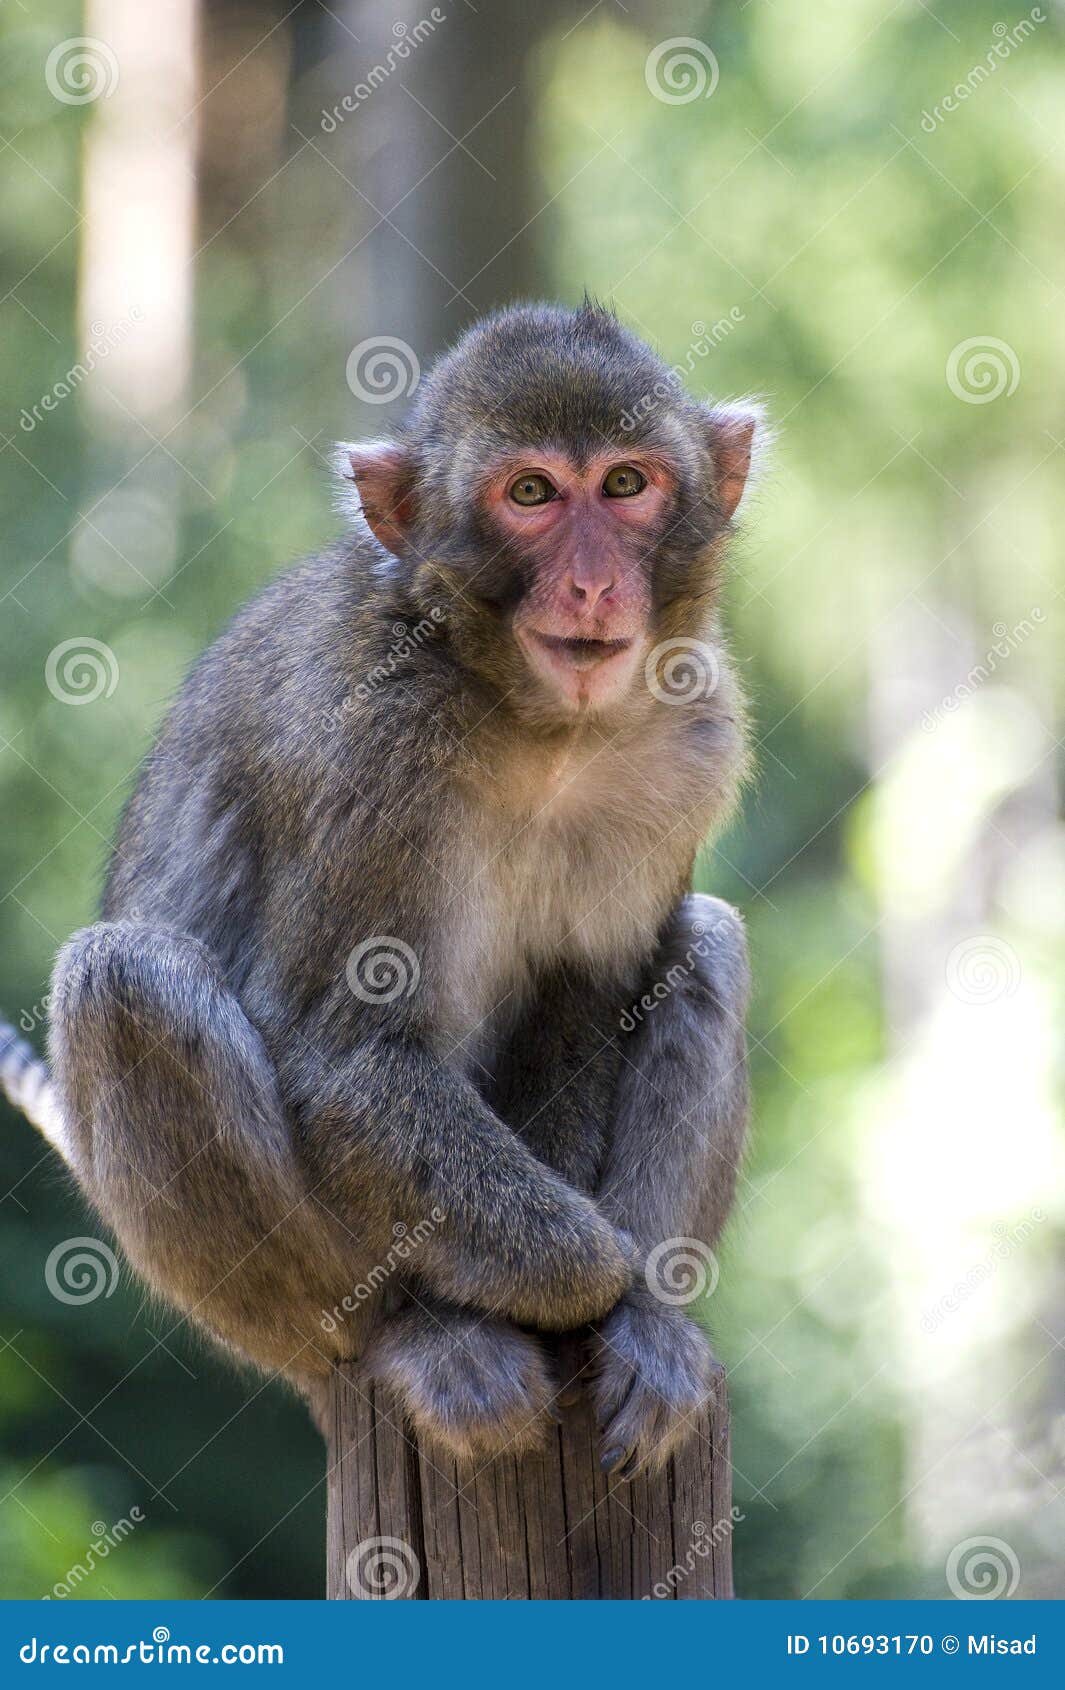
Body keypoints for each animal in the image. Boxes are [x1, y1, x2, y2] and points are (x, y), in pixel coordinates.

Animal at [3, 302, 756, 1479]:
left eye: (627, 484)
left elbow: (596, 997)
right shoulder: (368, 745)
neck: (535, 722)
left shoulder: (695, 740)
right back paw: (415, 1331)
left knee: (707, 941)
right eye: (531, 494)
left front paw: (631, 1295)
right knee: (127, 979)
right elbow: (348, 1055)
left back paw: (655, 1326)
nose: (593, 584)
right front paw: (594, 1274)